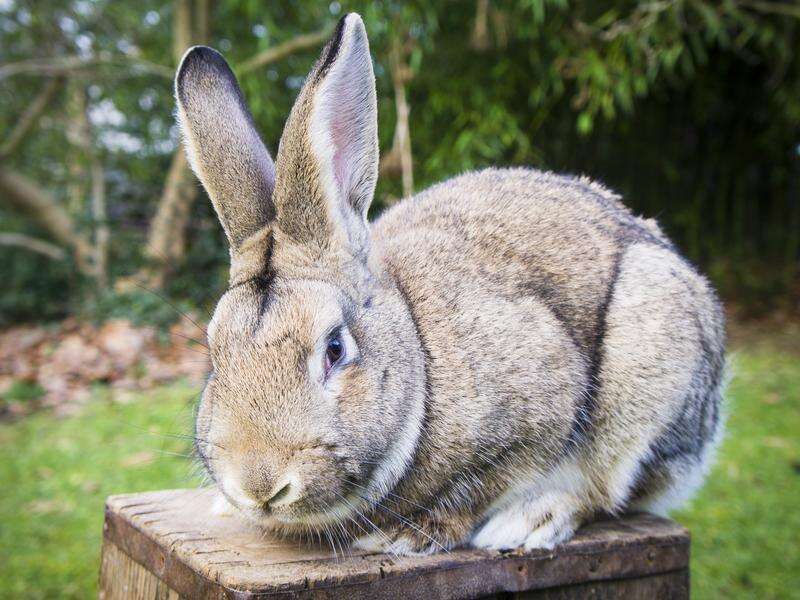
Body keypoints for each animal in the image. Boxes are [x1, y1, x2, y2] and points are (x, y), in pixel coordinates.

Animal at [177, 13, 726, 555]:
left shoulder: (537, 411)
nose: (260, 486)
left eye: (335, 348)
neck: (421, 360)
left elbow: (485, 484)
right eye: (215, 357)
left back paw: (532, 520)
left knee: (607, 488)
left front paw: (403, 536)